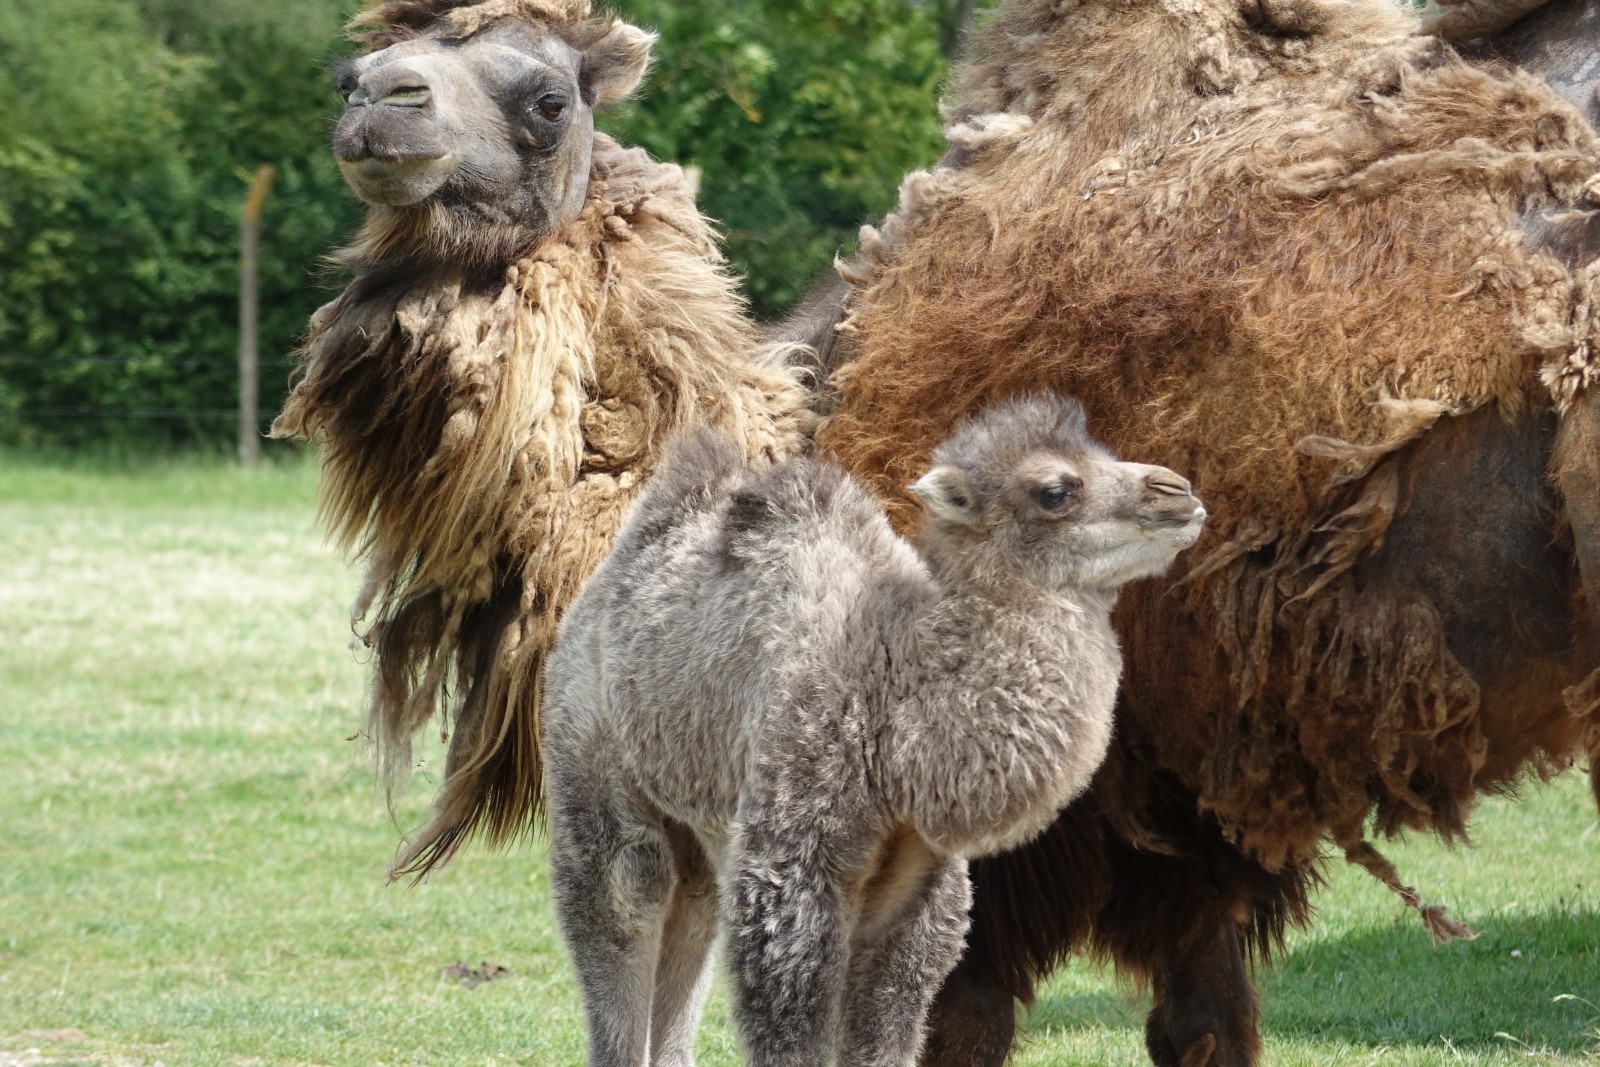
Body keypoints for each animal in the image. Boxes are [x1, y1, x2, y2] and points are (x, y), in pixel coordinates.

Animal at [541, 395, 1205, 1067]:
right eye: (1055, 491)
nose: (1179, 491)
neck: (891, 703)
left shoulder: (920, 887)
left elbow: (889, 1023)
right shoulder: (790, 871)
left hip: (703, 813)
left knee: (695, 903)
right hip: (584, 743)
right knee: (631, 879)